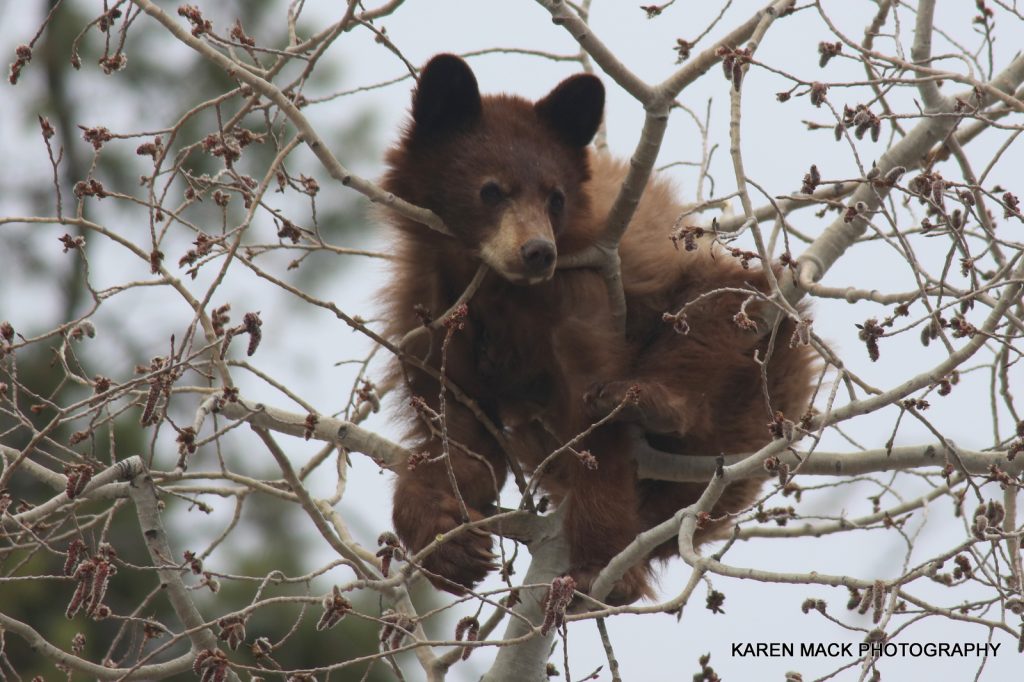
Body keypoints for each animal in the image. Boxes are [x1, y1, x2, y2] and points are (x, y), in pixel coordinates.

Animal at [378, 54, 815, 605]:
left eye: (556, 197)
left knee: (726, 311)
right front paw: (444, 538)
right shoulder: (430, 318)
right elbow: (458, 435)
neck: (493, 287)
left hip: (765, 380)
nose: (538, 251)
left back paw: (645, 402)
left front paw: (600, 566)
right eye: (491, 190)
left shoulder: (586, 290)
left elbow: (593, 424)